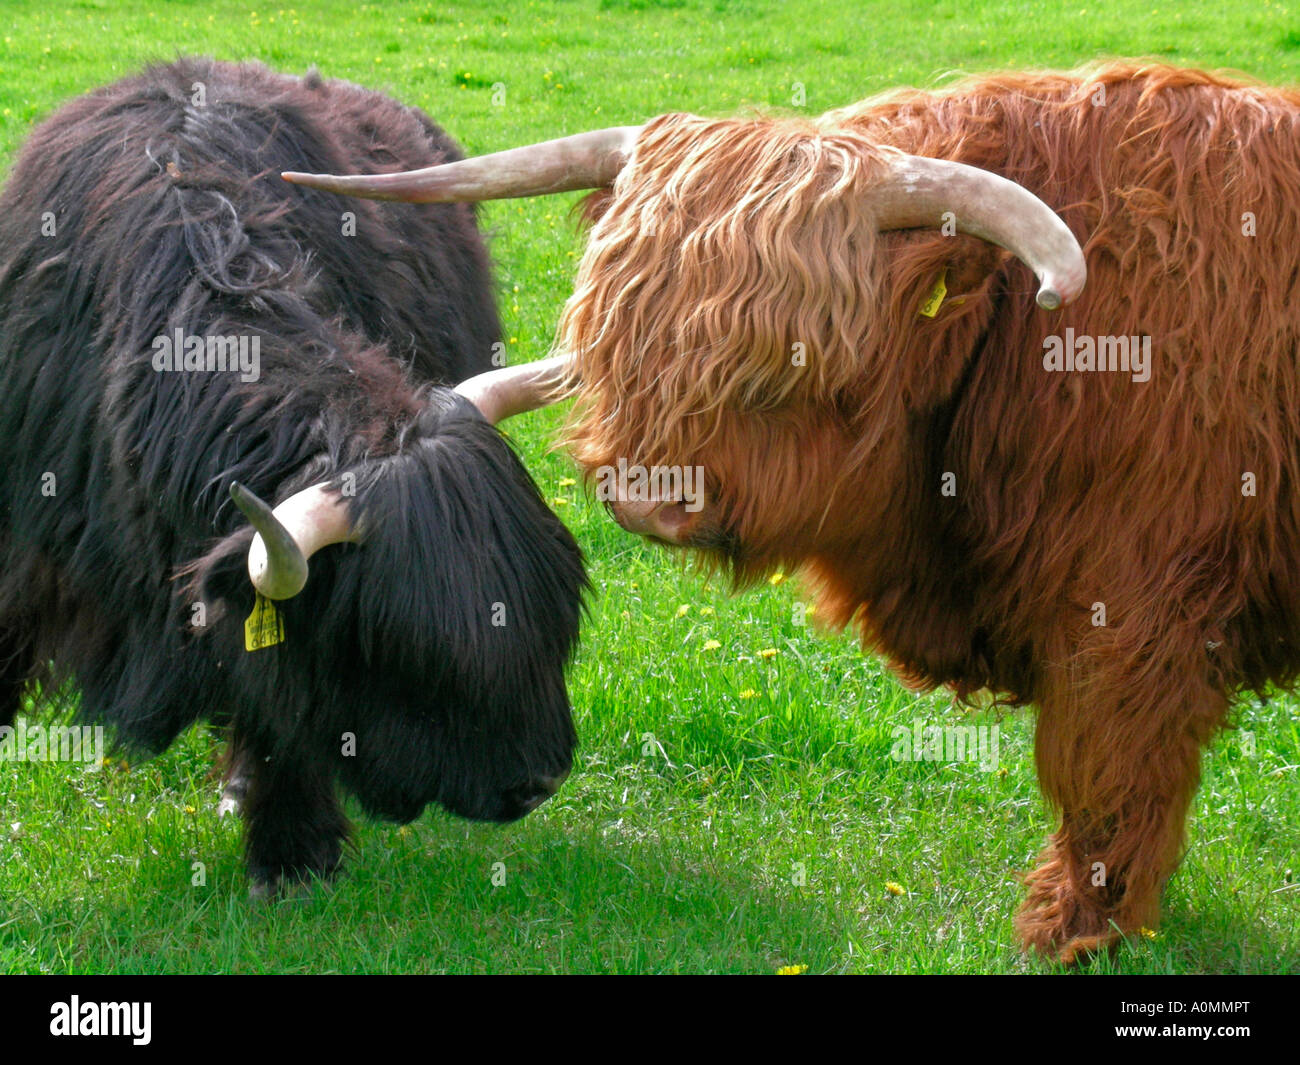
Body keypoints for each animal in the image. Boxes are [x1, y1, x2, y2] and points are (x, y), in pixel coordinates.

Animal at [284, 63, 1300, 962]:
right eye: (624, 335)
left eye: (788, 366)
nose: (646, 499)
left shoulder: (1133, 608)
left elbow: (1106, 767)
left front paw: (1074, 930)